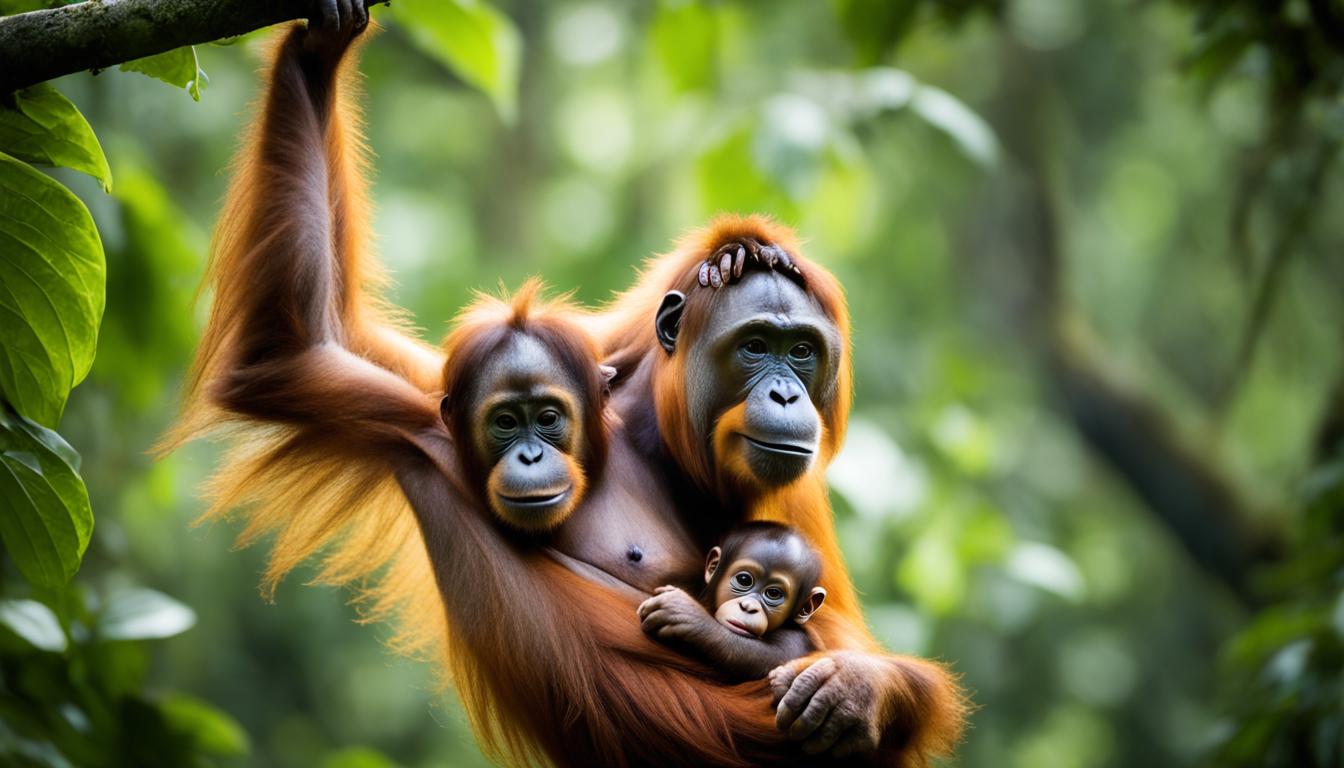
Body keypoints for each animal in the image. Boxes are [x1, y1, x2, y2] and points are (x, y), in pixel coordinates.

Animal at [638, 521, 827, 680]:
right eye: (744, 580)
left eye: (773, 593)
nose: (749, 607)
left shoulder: (796, 639)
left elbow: (771, 656)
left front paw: (688, 616)